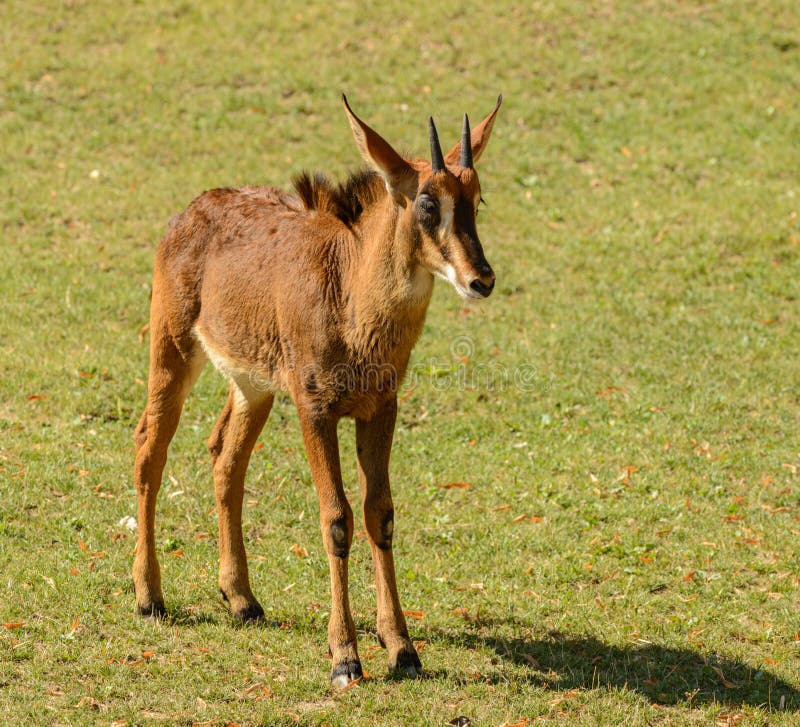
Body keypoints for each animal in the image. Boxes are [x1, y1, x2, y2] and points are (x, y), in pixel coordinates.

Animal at [132, 94, 501, 687]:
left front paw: (402, 647)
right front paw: (344, 656)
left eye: (476, 197)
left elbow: (380, 513)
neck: (352, 295)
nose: (481, 279)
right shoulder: (316, 409)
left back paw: (242, 599)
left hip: (254, 384)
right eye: (427, 202)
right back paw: (149, 596)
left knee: (225, 457)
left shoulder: (380, 408)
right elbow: (337, 519)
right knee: (150, 444)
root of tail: (193, 209)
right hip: (172, 347)